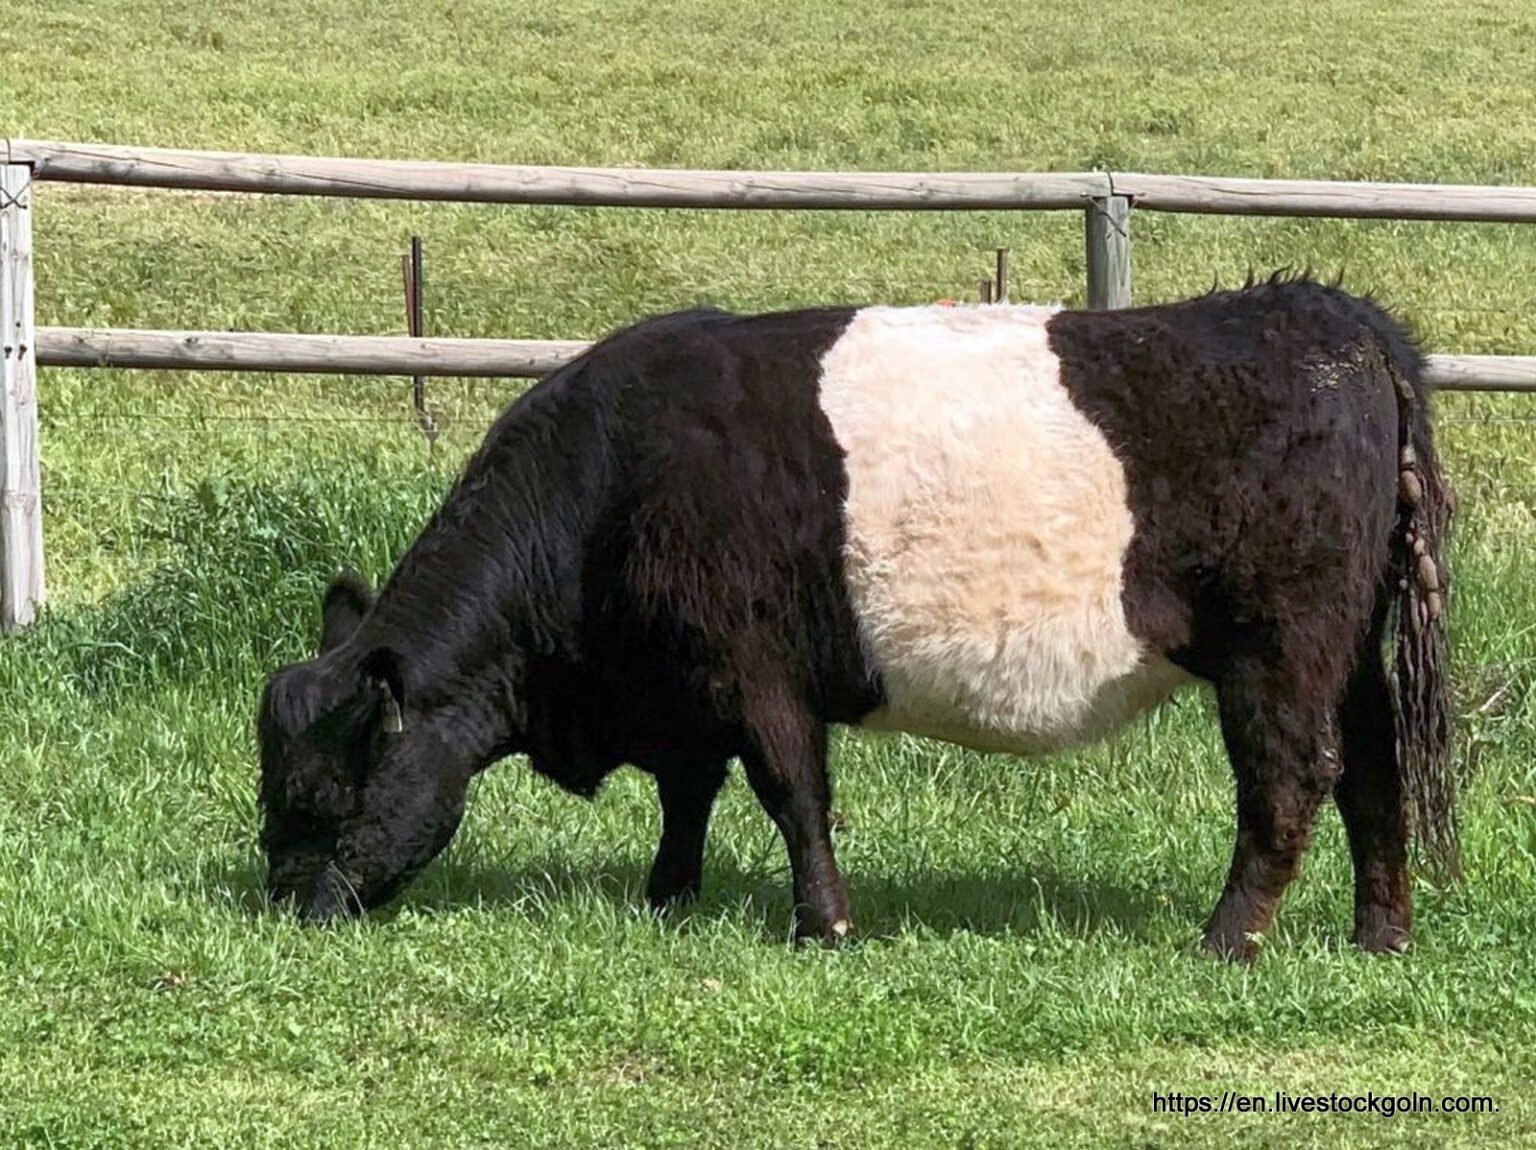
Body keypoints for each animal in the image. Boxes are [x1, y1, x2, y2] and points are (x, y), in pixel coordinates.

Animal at [256, 274, 1456, 961]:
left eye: (324, 795)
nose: (286, 913)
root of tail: (1335, 317)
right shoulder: (685, 689)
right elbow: (689, 796)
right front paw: (667, 899)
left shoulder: (756, 671)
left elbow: (791, 791)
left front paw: (823, 925)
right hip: (1356, 650)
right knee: (1375, 771)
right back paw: (1380, 935)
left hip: (1280, 646)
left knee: (1293, 777)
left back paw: (1226, 939)